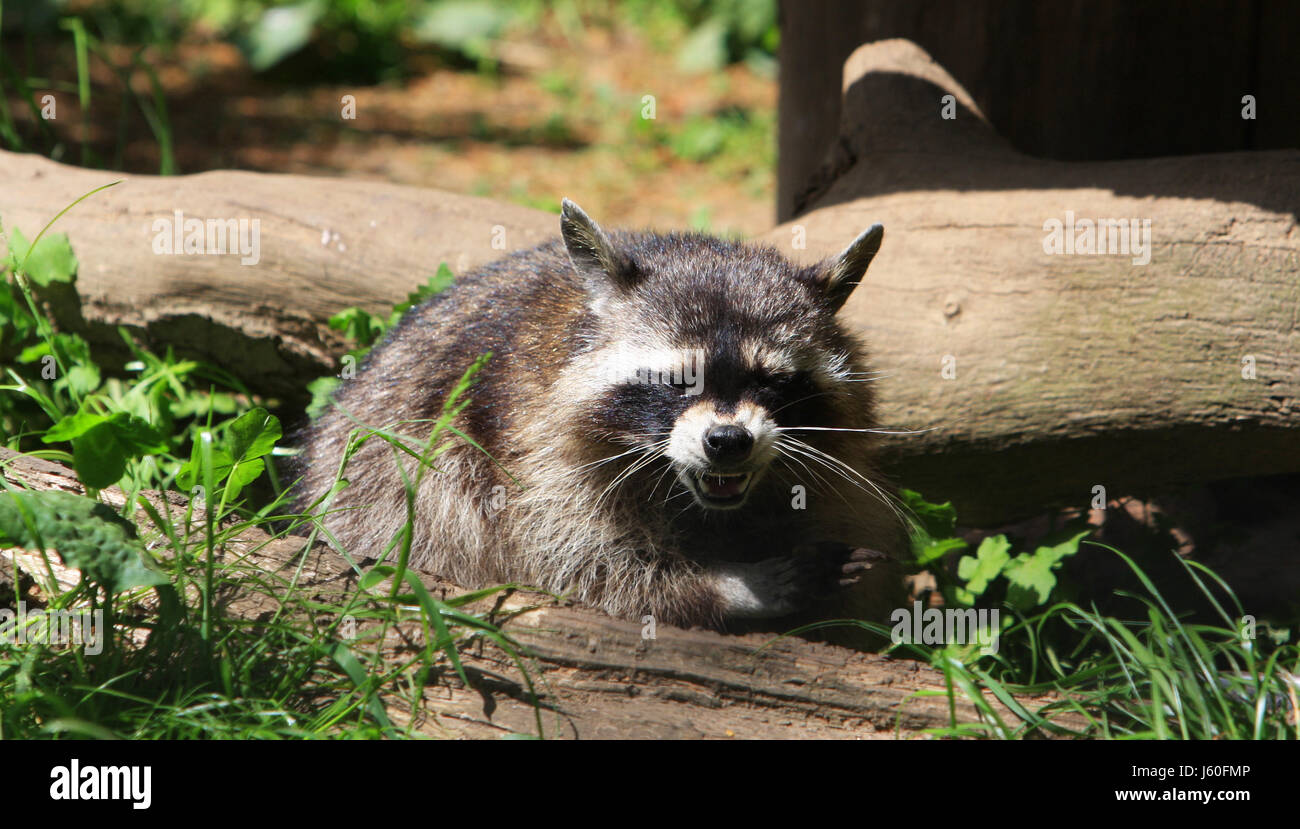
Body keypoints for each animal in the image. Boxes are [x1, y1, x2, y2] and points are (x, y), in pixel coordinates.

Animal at [293, 200, 906, 630]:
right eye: (677, 381)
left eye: (773, 381)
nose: (728, 440)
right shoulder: (528, 444)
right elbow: (577, 564)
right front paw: (733, 587)